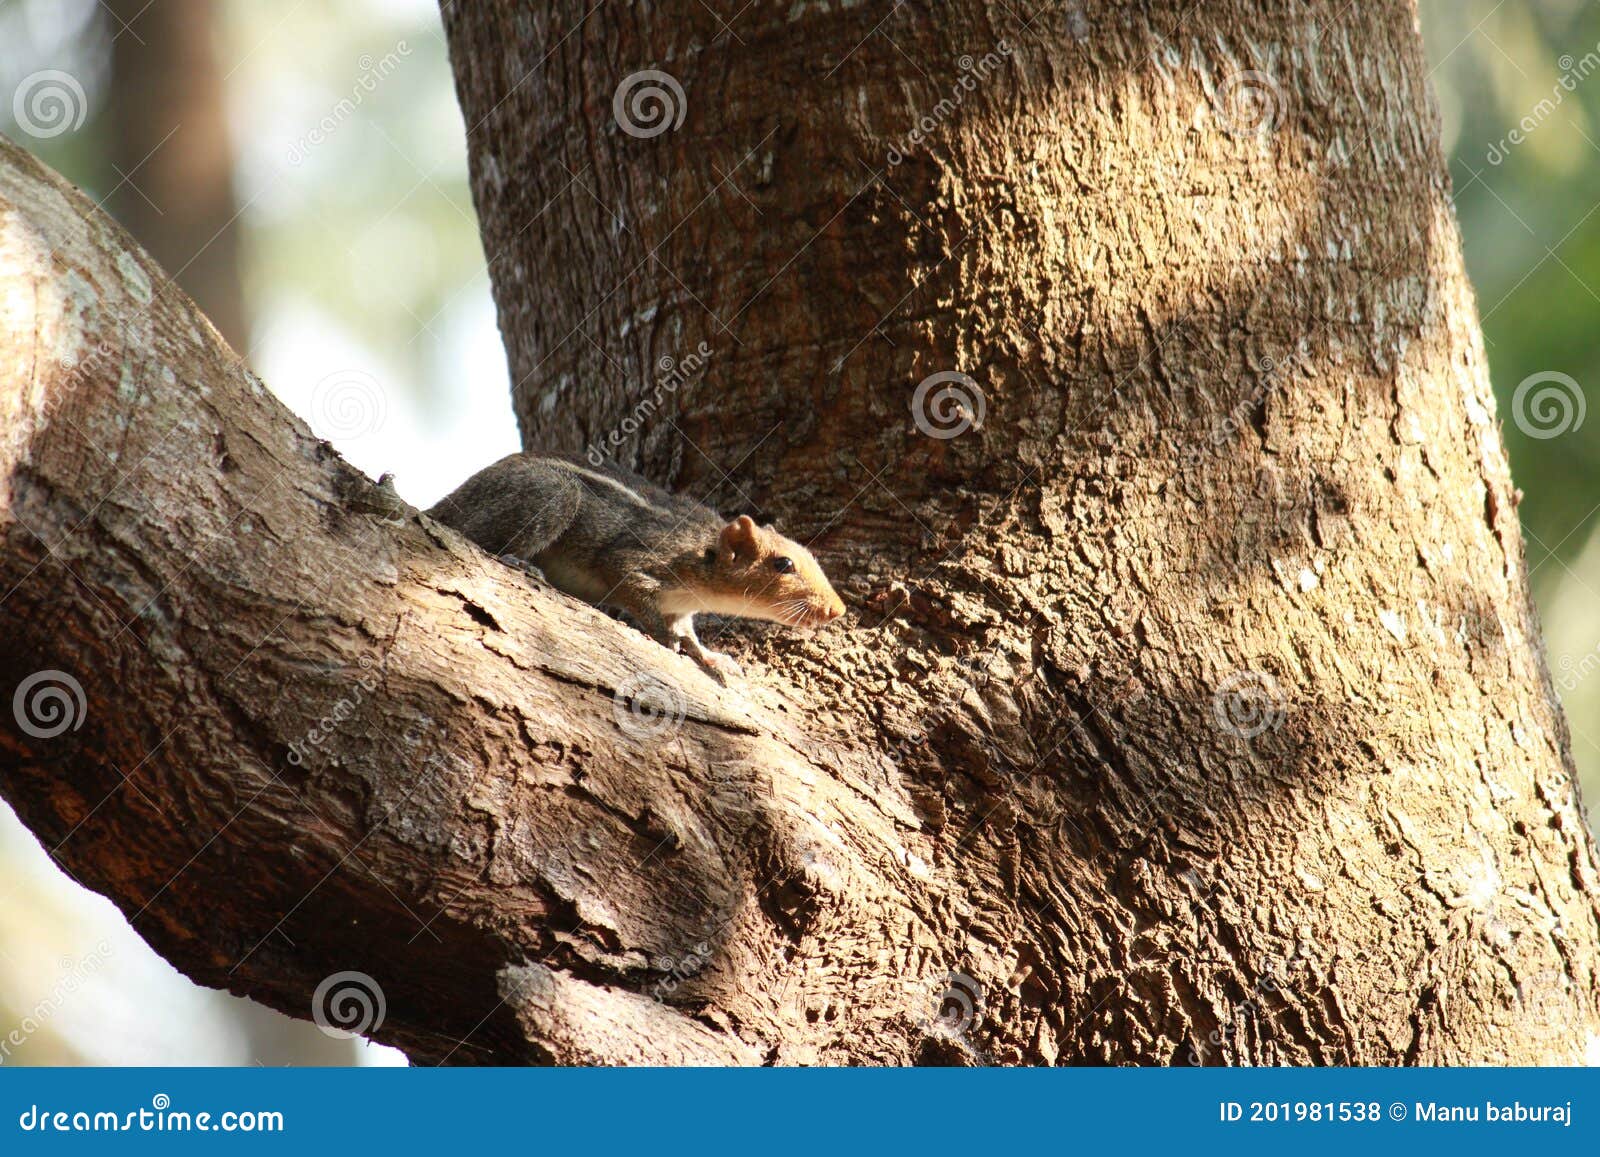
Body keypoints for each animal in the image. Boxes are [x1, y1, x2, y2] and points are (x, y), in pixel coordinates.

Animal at [426, 453, 846, 676]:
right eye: (784, 563)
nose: (838, 610)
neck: (702, 553)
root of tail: (446, 502)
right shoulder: (640, 559)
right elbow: (633, 588)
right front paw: (666, 637)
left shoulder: (682, 607)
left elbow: (690, 632)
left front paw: (712, 656)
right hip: (550, 494)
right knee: (476, 535)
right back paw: (519, 562)